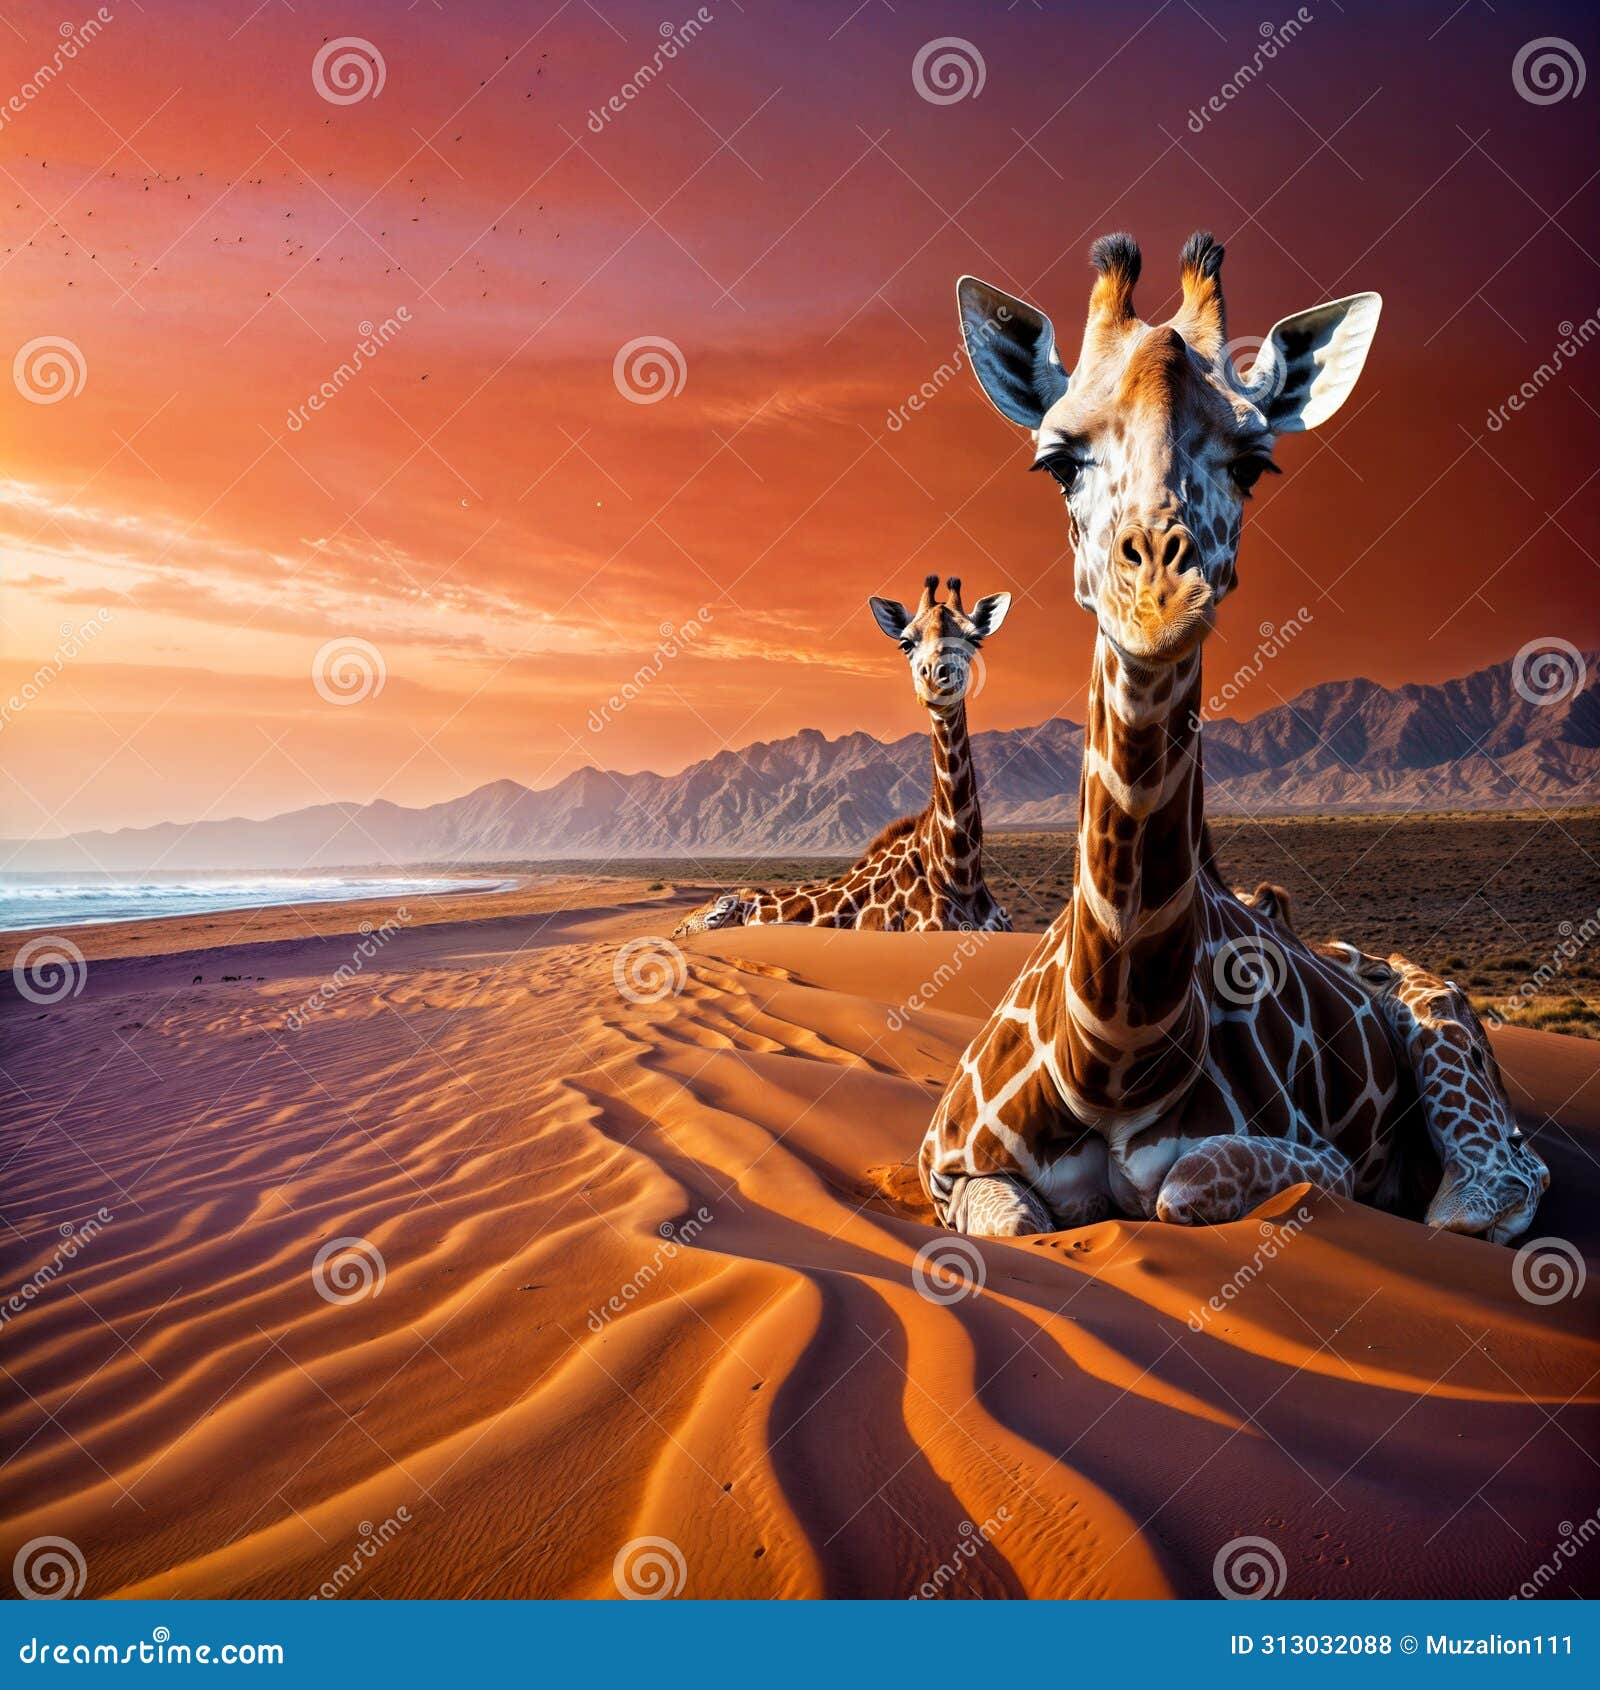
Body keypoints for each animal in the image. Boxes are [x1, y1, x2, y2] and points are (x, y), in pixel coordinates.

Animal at [918, 231, 1547, 1242]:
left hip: (1445, 1021)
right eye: (1056, 460)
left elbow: (1179, 1187)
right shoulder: (942, 1160)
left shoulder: (1314, 1159)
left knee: (1493, 1188)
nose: (1158, 599)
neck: (1113, 1054)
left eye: (1255, 461)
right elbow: (1014, 1221)